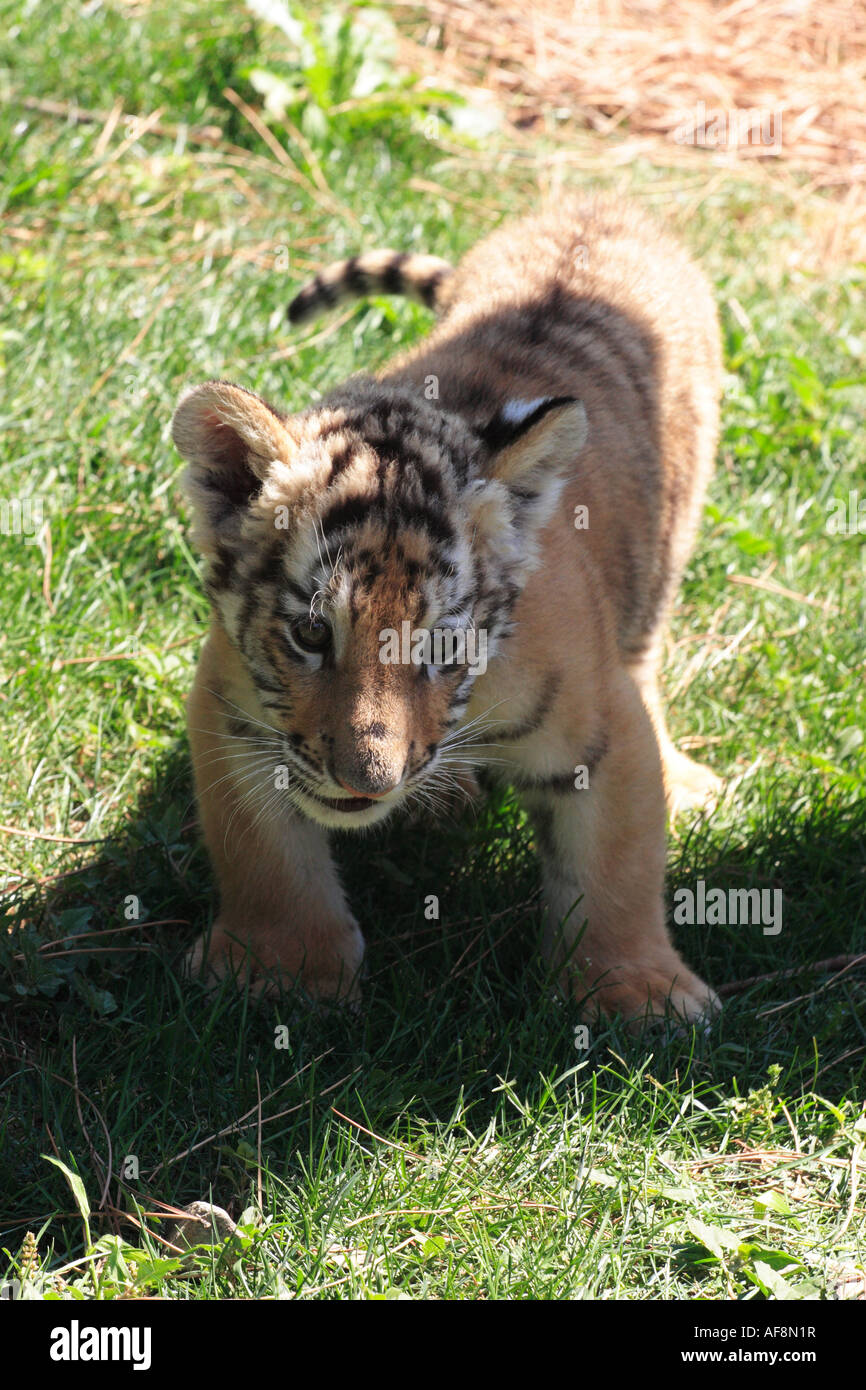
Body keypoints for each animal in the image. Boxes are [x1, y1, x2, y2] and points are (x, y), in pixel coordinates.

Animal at [170, 192, 723, 1023]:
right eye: (310, 633)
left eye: (438, 651)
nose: (367, 783)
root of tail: (600, 204)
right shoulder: (231, 703)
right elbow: (262, 855)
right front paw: (283, 971)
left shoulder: (603, 725)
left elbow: (617, 865)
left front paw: (634, 993)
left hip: (667, 546)